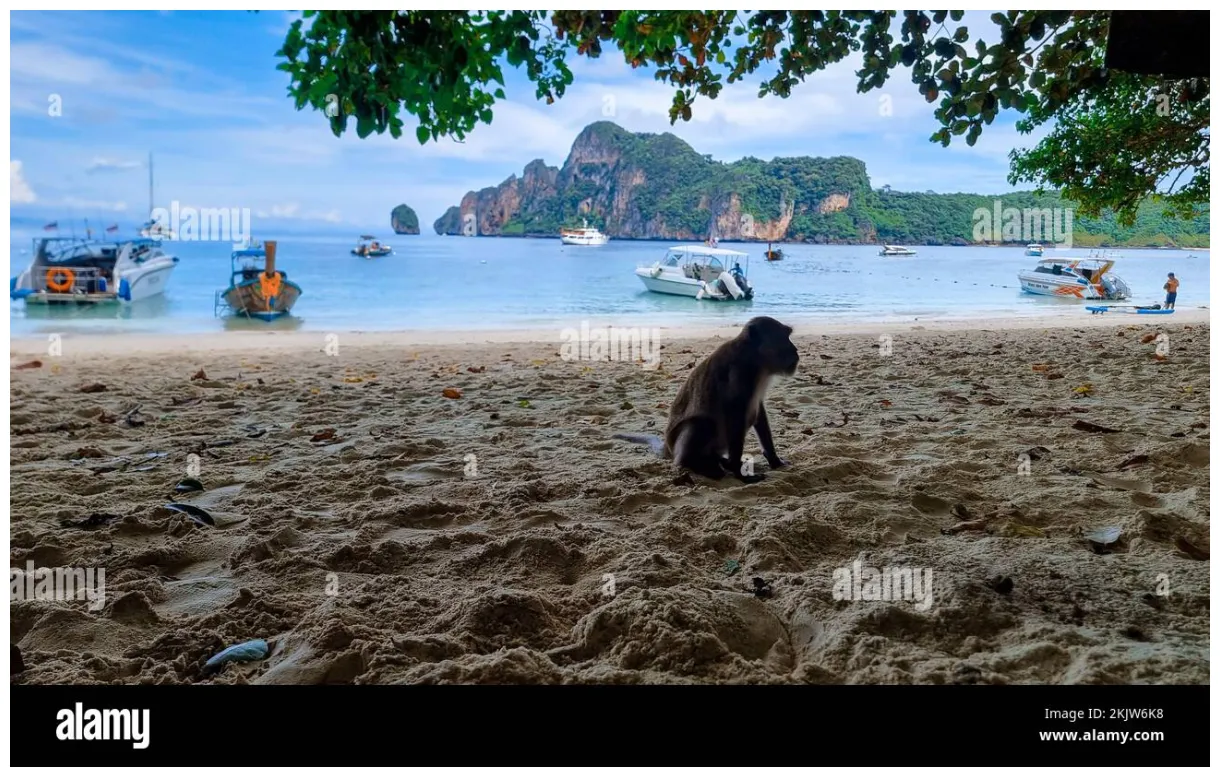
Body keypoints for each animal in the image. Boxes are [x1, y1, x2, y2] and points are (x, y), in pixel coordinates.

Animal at [614, 316, 799, 484]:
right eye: (784, 337)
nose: (795, 350)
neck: (755, 359)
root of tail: (668, 448)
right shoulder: (739, 374)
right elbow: (735, 414)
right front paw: (738, 471)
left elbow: (758, 411)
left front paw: (774, 460)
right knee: (703, 423)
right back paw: (700, 465)